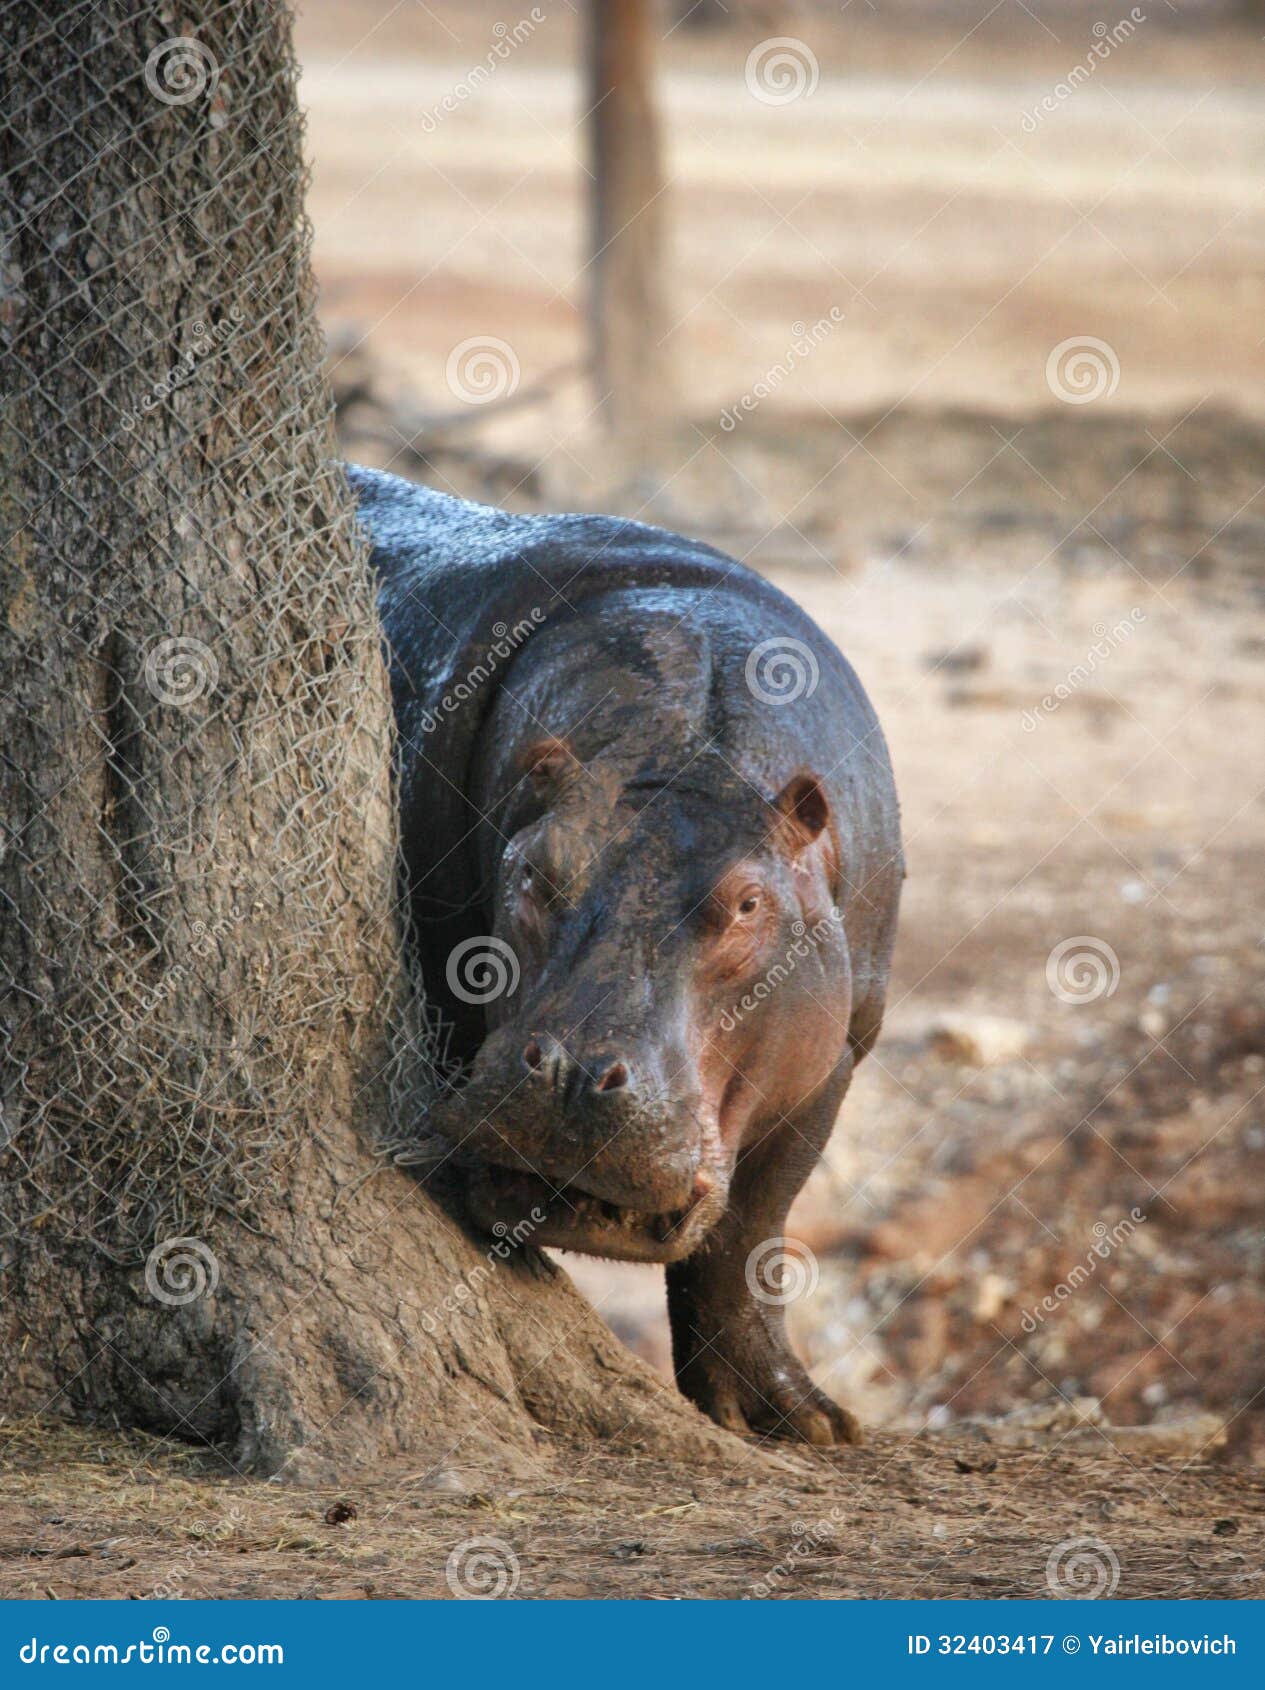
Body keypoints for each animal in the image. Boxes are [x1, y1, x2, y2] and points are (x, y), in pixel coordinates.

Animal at [349, 463, 902, 1445]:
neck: (690, 739)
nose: (572, 1072)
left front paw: (799, 1421)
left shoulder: (834, 1056)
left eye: (749, 903)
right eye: (533, 868)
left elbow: (750, 1231)